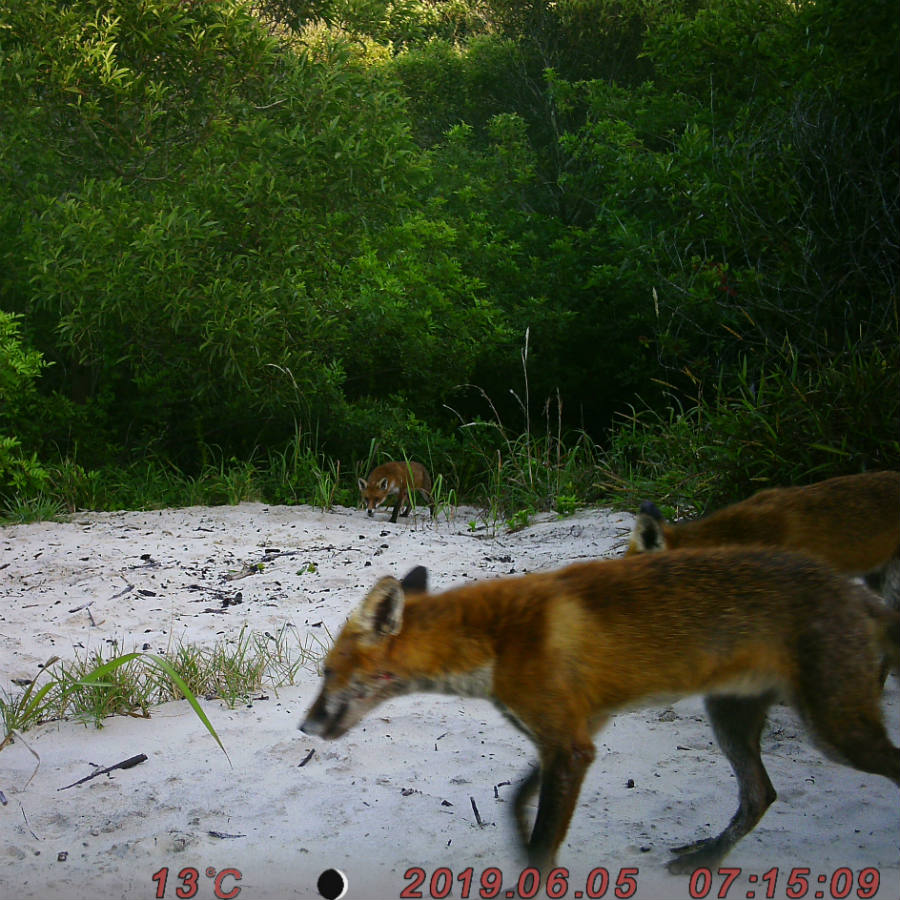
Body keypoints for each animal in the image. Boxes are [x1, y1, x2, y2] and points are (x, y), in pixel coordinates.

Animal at [300, 551, 900, 875]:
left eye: (326, 672)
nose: (304, 726)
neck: (495, 640)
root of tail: (861, 597)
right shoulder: (572, 736)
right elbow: (518, 805)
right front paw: (522, 845)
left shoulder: (570, 747)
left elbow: (543, 841)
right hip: (730, 716)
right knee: (760, 796)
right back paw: (705, 860)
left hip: (836, 731)